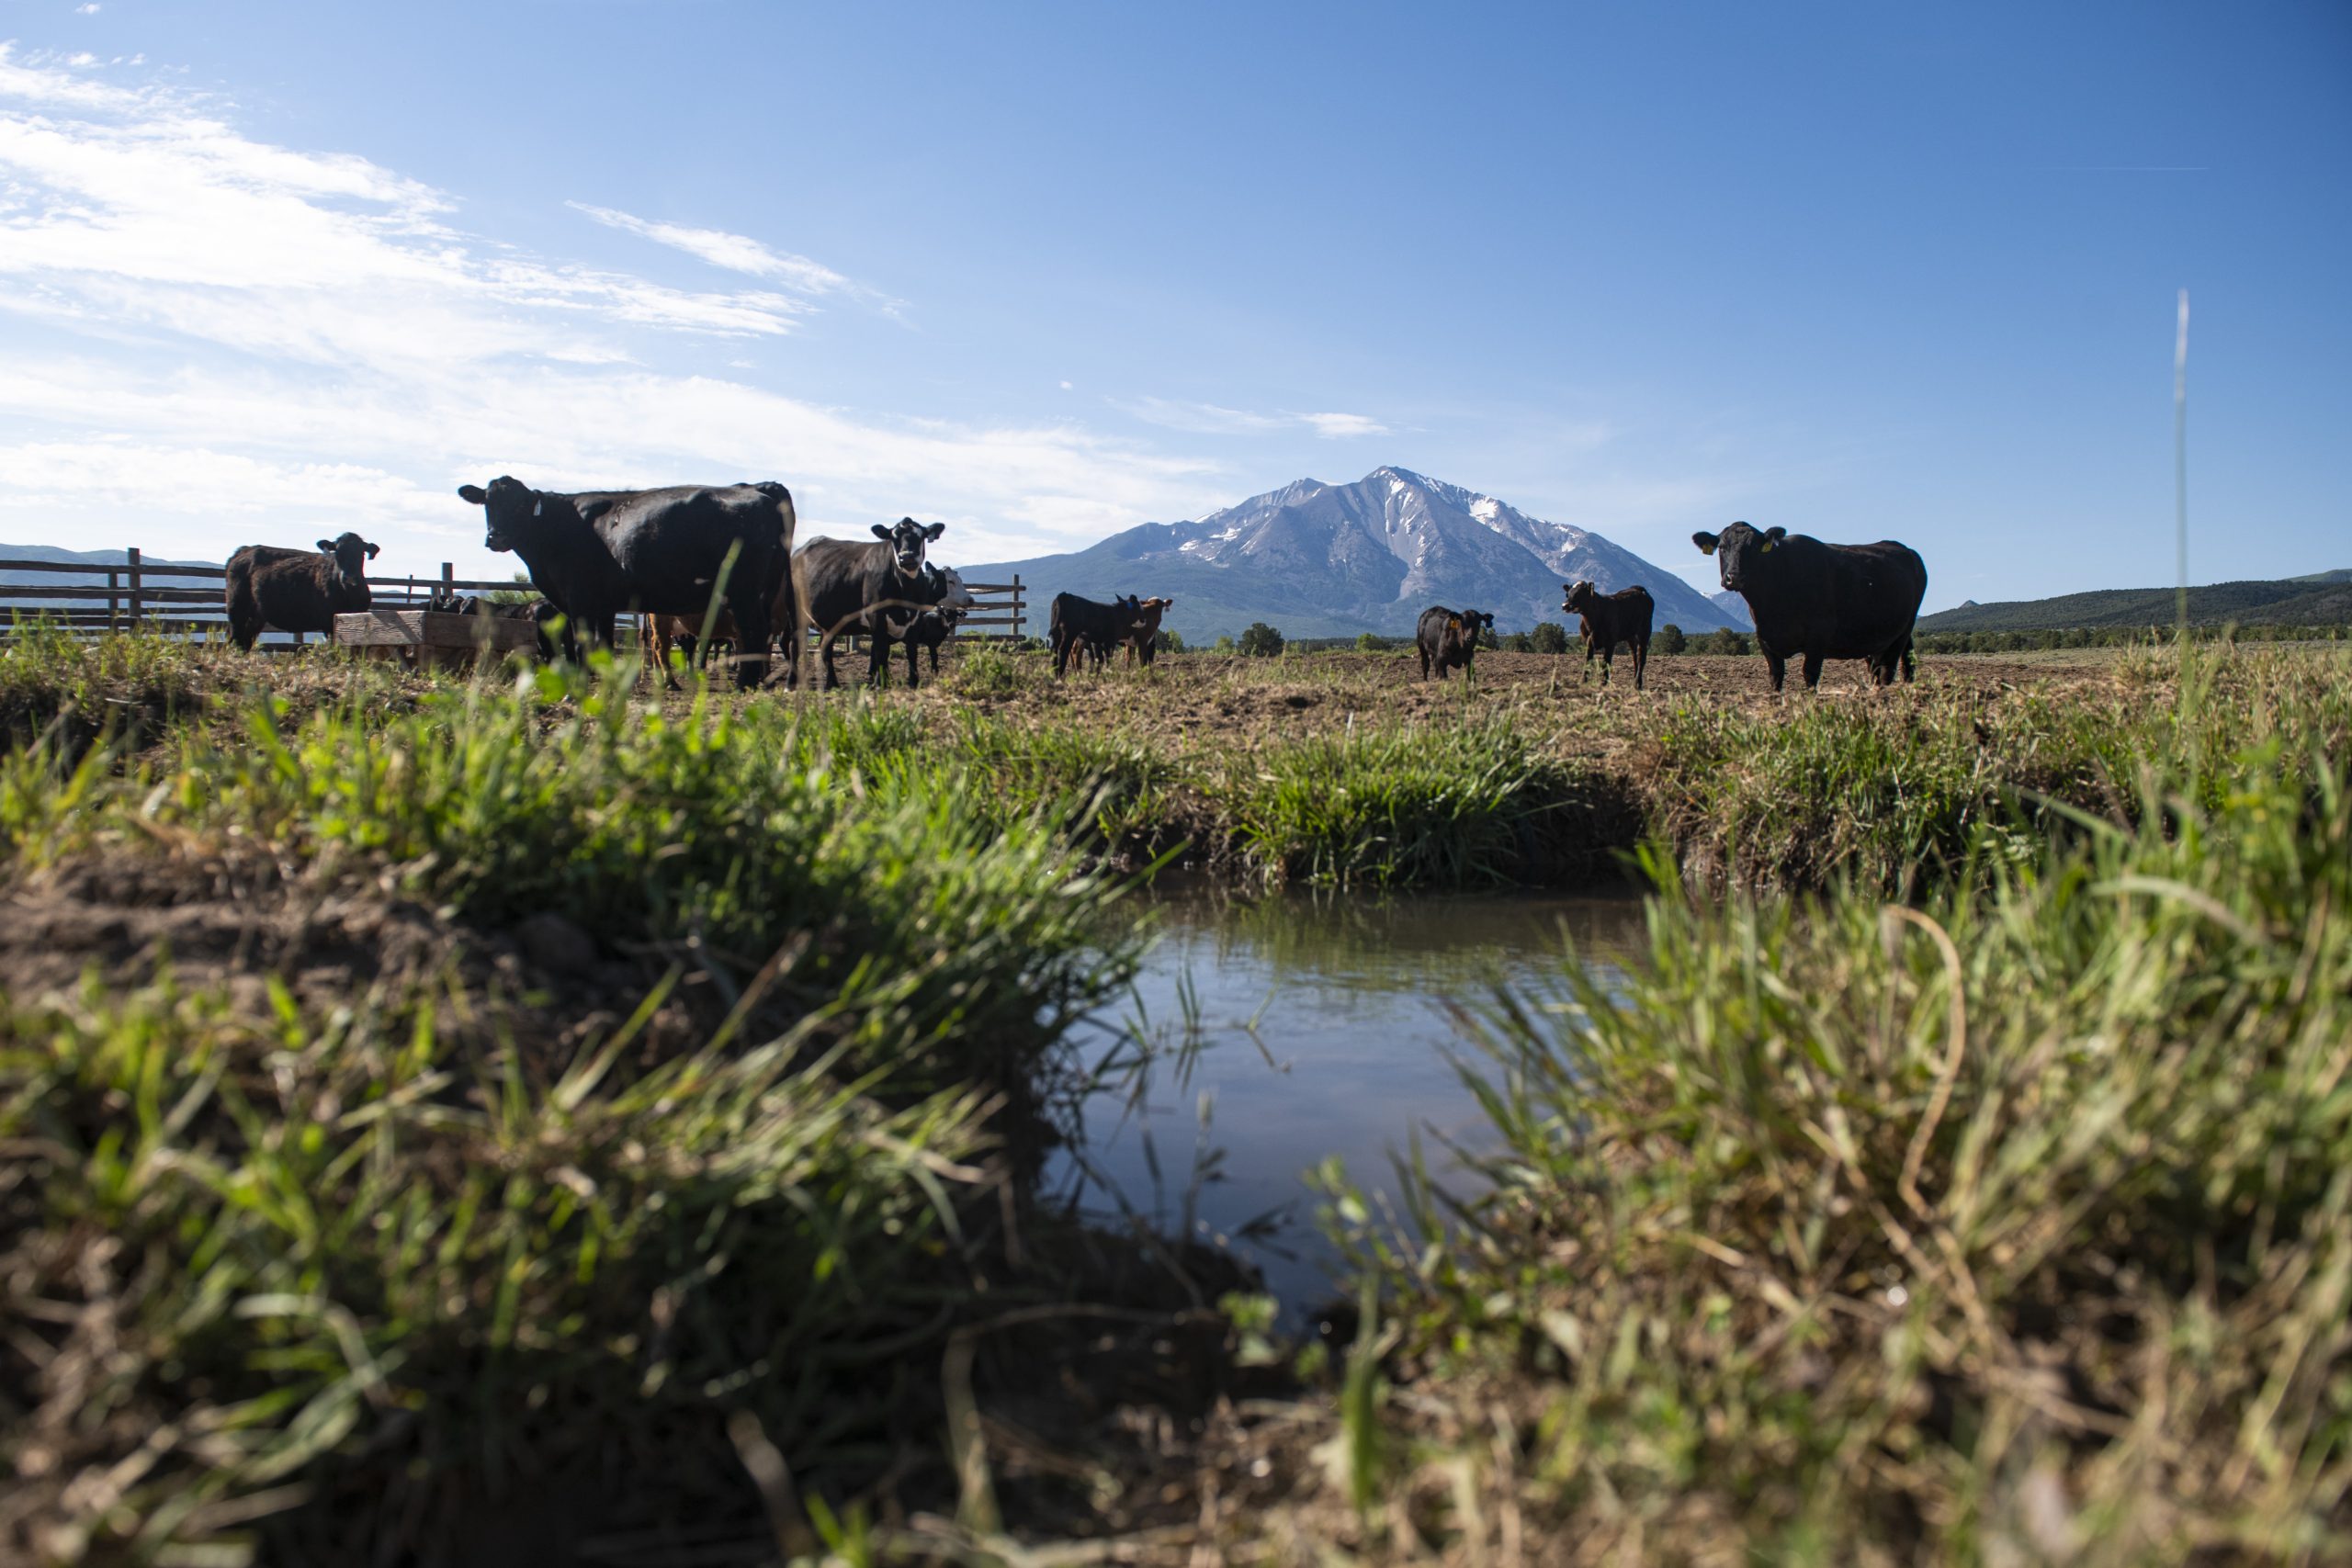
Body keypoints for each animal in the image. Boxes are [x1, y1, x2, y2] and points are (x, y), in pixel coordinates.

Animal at [223, 533, 380, 652]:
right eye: (338, 553)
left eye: (361, 554)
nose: (349, 577)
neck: (349, 595)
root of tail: (244, 550)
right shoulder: (329, 622)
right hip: (237, 609)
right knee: (235, 640)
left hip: (256, 616)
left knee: (245, 642)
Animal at [454, 478, 796, 689]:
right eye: (487, 503)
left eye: (519, 505)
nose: (495, 537)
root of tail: (761, 491)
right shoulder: (603, 606)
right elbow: (602, 644)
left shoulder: (579, 600)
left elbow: (580, 644)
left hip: (744, 593)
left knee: (754, 632)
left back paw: (744, 684)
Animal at [792, 518, 949, 690]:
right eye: (894, 538)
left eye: (921, 536)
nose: (906, 557)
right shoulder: (876, 616)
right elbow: (881, 651)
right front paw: (880, 683)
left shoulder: (916, 618)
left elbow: (911, 651)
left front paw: (914, 682)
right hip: (793, 612)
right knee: (795, 645)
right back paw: (792, 682)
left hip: (829, 622)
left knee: (825, 649)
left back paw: (832, 683)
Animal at [1692, 522, 1927, 691]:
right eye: (1722, 547)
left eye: (1755, 549)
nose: (1734, 578)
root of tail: (1906, 549)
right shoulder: (1765, 639)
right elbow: (1775, 677)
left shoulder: (1818, 637)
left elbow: (1810, 675)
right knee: (1890, 667)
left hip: (1902, 632)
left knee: (1888, 671)